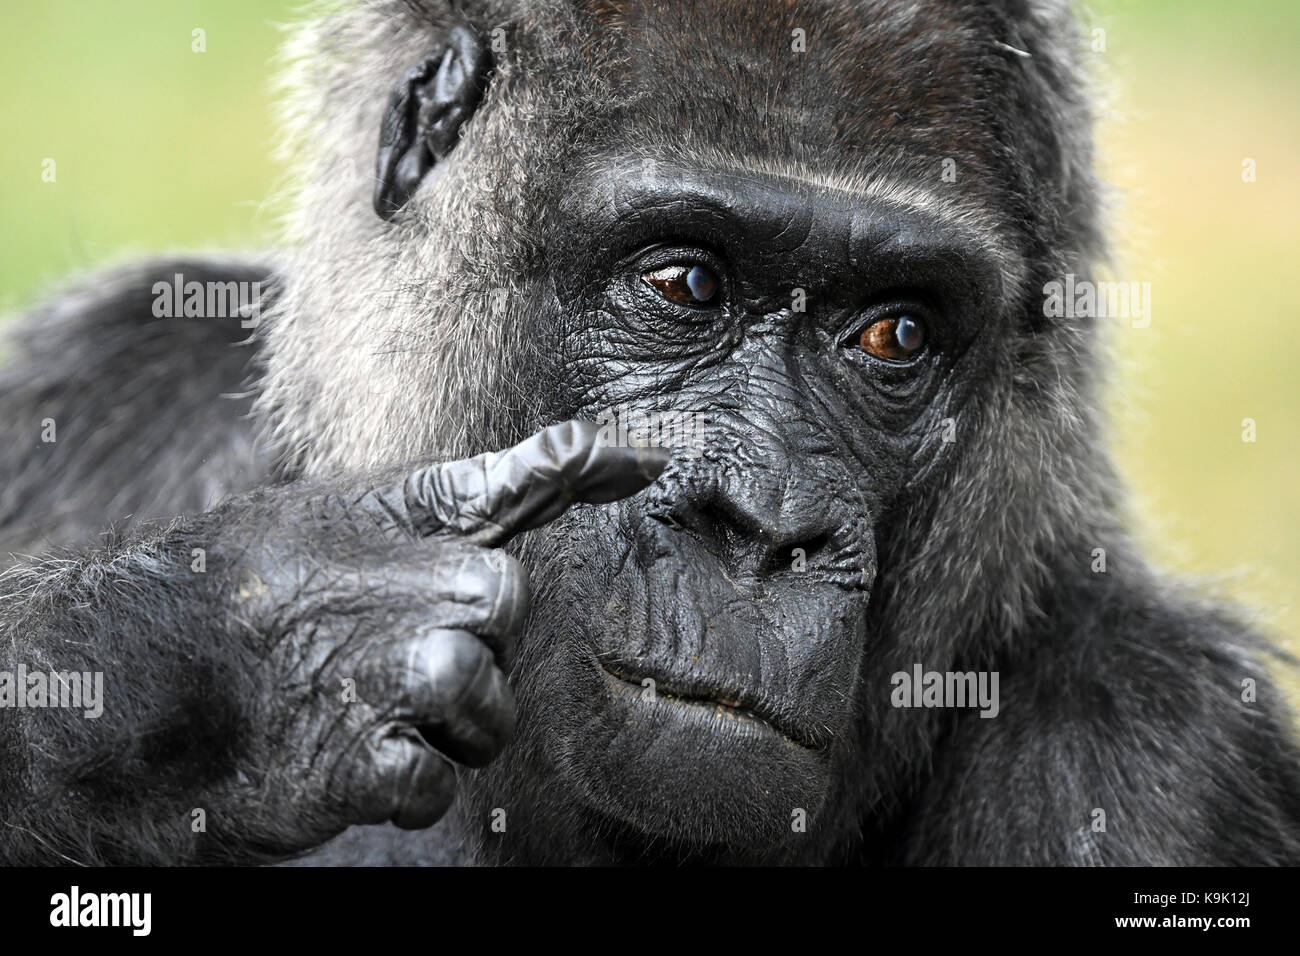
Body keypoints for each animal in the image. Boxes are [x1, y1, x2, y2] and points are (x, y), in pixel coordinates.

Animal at [1, 0, 1297, 866]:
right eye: (684, 282)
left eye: (894, 334)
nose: (763, 527)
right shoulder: (107, 376)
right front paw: (207, 655)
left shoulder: (1160, 742)